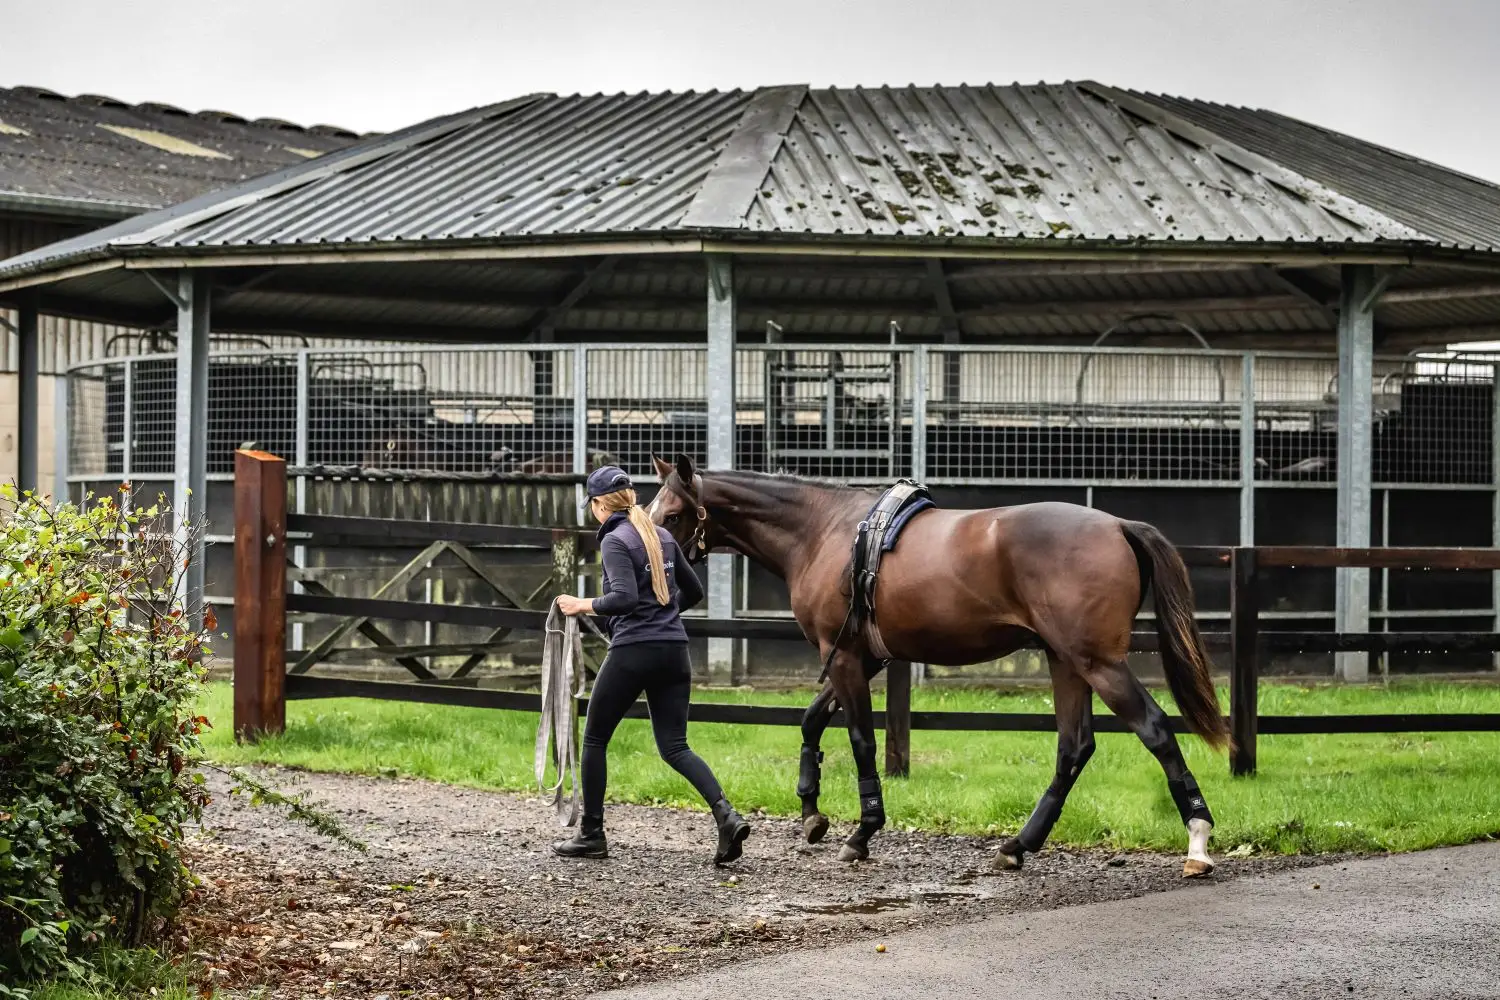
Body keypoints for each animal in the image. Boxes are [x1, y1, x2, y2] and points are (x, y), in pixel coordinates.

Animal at [647, 454, 1229, 877]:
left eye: (672, 515)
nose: (653, 562)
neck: (822, 531)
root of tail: (1118, 525)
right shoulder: (863, 657)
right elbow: (811, 720)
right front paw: (812, 813)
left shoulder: (848, 659)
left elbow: (861, 740)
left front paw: (862, 833)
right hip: (1066, 660)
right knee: (1074, 748)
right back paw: (1018, 845)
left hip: (1098, 662)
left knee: (1154, 730)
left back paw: (1198, 842)